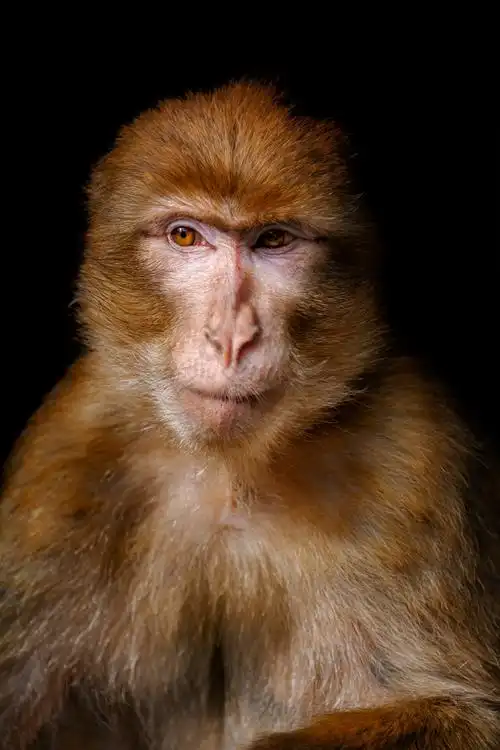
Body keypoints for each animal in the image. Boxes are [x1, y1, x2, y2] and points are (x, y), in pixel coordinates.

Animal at [0, 81, 498, 750]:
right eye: (186, 237)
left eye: (274, 242)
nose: (232, 338)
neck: (229, 475)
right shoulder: (63, 462)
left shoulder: (417, 456)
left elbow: (463, 715)